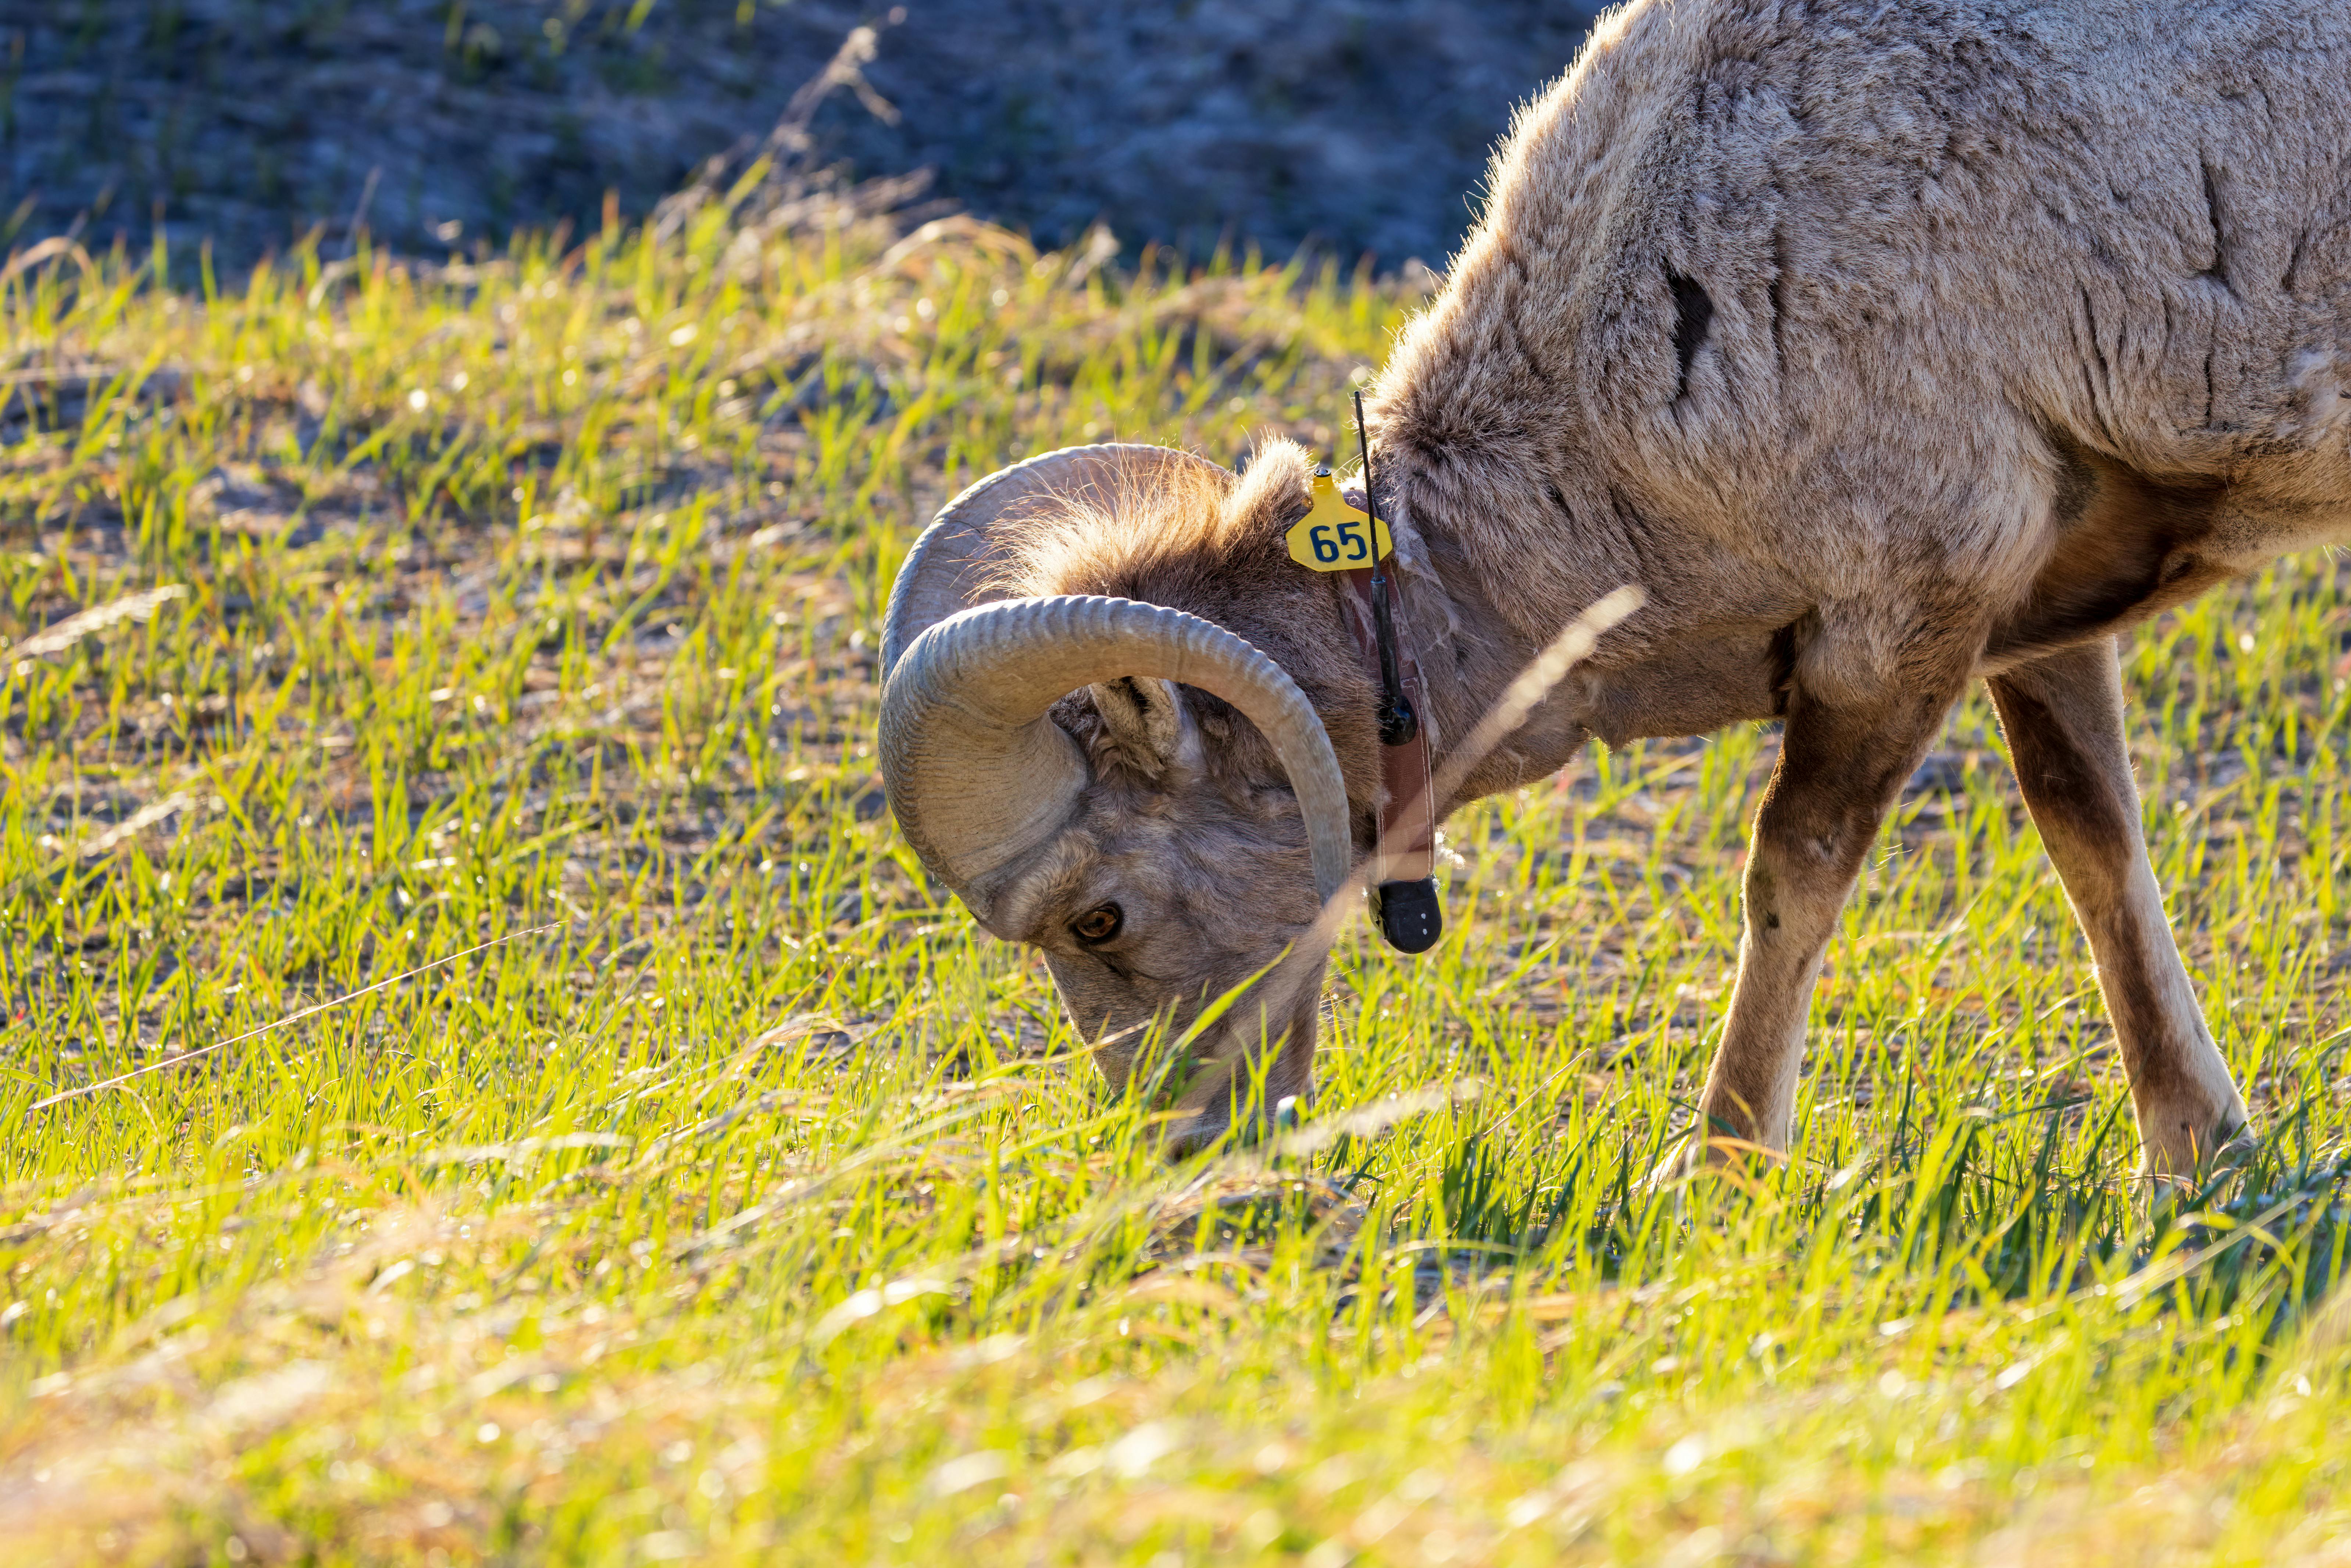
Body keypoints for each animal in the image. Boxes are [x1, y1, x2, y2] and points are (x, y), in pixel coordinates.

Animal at [879, 0, 2351, 1173]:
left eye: (1098, 913)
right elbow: (2093, 849)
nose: (1185, 1142)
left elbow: (1788, 878)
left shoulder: (1898, 619)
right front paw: (2202, 1161)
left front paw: (1723, 1165)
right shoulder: (2031, 616)